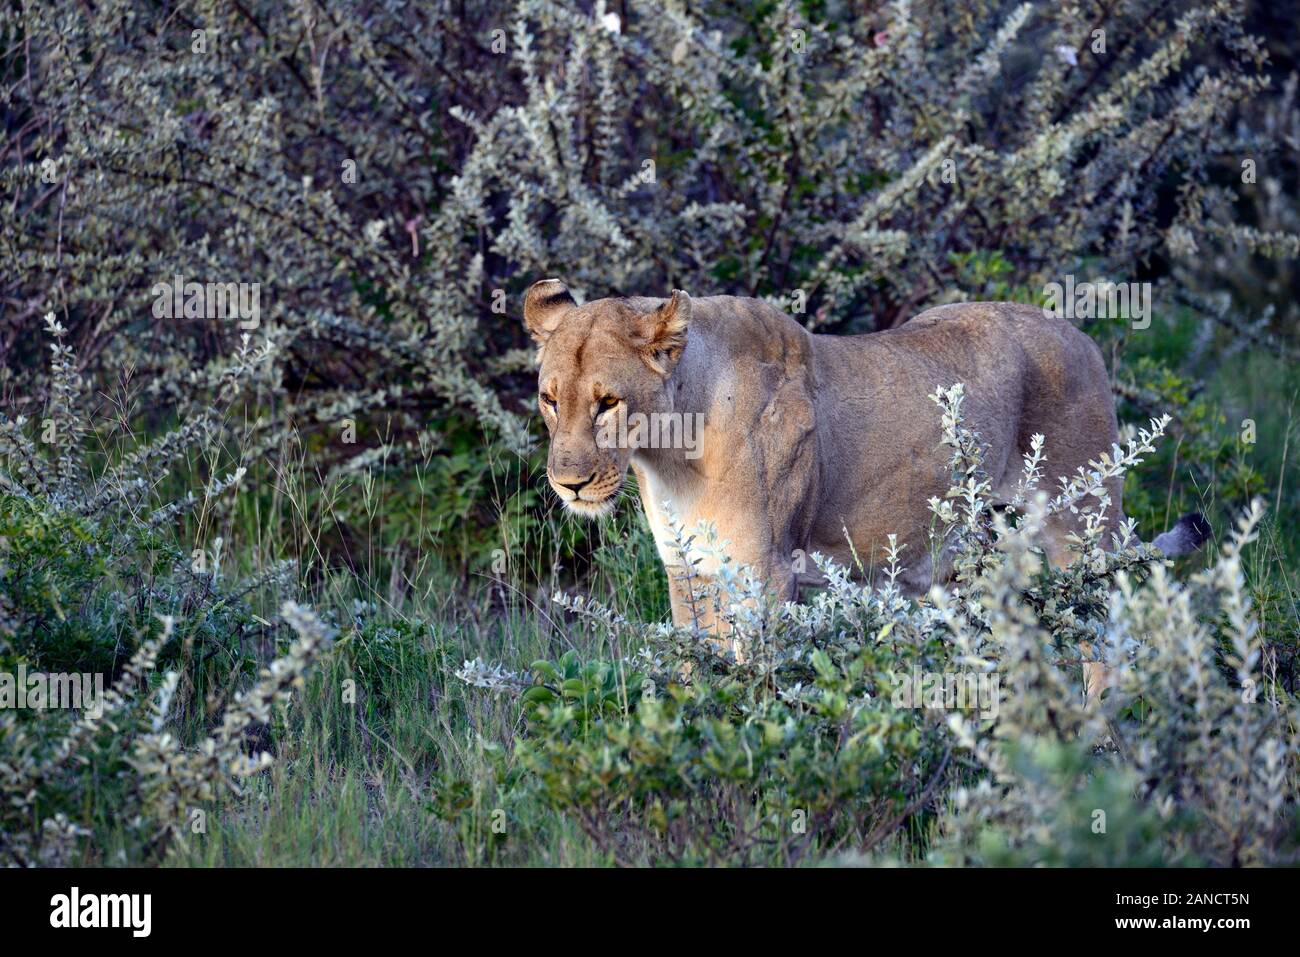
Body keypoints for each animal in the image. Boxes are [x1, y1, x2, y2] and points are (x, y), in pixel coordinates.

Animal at [523, 279, 1209, 697]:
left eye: (609, 401)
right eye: (550, 400)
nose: (569, 484)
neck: (671, 454)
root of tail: (1078, 333)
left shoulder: (768, 572)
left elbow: (756, 688)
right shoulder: (689, 571)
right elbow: (698, 674)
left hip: (1082, 526)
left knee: (1107, 637)